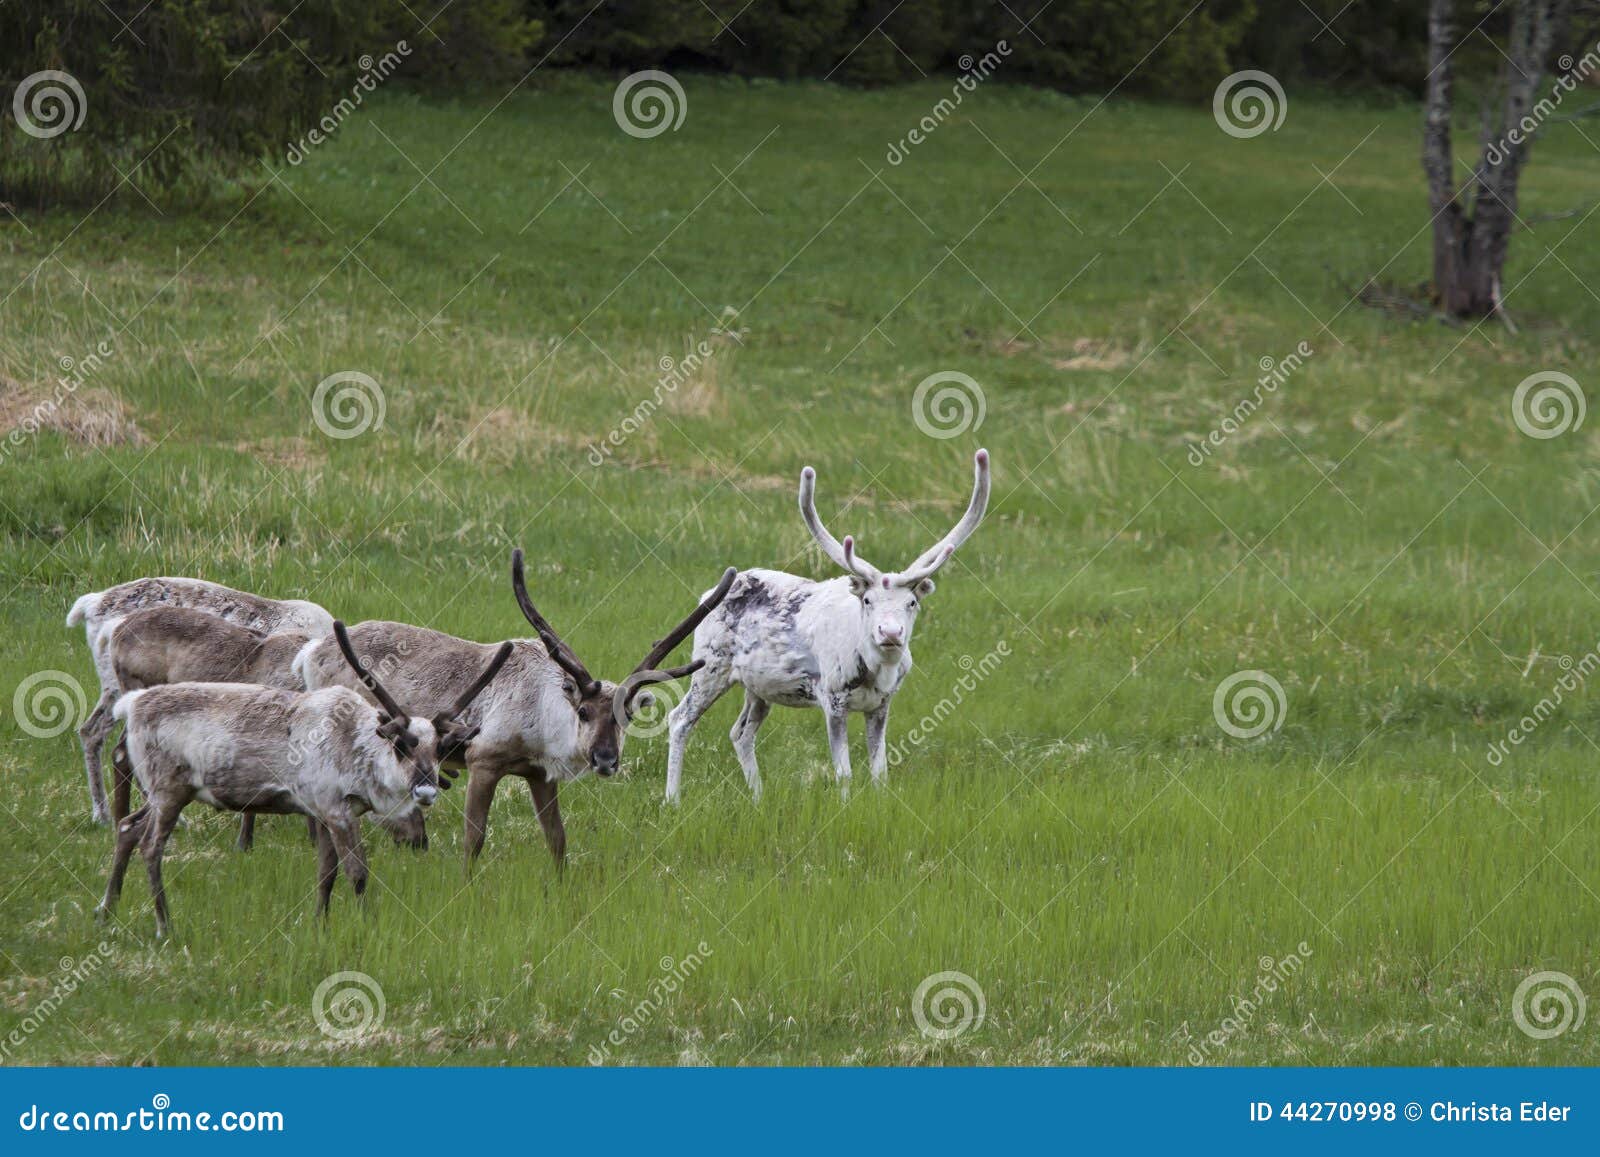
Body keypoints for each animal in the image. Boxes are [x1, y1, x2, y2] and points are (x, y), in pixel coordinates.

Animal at [98, 621, 511, 939]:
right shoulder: (336, 810)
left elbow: (326, 873)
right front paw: (368, 924)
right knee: (151, 846)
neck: (355, 746)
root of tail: (131, 705)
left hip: (164, 793)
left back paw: (106, 910)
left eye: (440, 748)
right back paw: (164, 926)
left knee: (128, 827)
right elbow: (357, 873)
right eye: (401, 744)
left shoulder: (326, 812)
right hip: (168, 790)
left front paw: (319, 925)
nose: (425, 789)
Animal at [294, 549, 735, 868]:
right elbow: (474, 839)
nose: (606, 758)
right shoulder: (484, 760)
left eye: (625, 716)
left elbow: (557, 840)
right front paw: (466, 885)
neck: (541, 719)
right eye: (583, 711)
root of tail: (311, 652)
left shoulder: (539, 775)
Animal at [664, 449, 990, 802]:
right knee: (679, 718)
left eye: (912, 602)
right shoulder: (831, 696)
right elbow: (843, 772)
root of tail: (707, 595)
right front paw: (845, 805)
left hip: (758, 686)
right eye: (867, 600)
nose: (890, 633)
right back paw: (672, 799)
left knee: (740, 732)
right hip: (710, 665)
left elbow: (880, 770)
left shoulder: (882, 703)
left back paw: (758, 798)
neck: (875, 671)